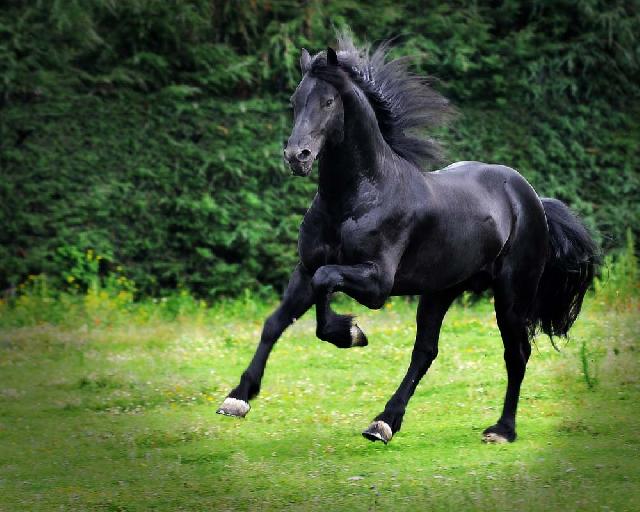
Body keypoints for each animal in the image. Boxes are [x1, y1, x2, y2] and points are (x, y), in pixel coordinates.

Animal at [217, 34, 598, 445]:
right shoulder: (304, 269)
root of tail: (533, 199)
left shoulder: (376, 284)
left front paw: (350, 333)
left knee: (517, 353)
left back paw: (501, 430)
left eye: (328, 102)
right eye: (294, 100)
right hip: (440, 290)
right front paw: (237, 398)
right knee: (425, 351)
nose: (296, 156)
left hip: (511, 295)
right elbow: (276, 321)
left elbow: (326, 284)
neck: (356, 198)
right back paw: (384, 422)